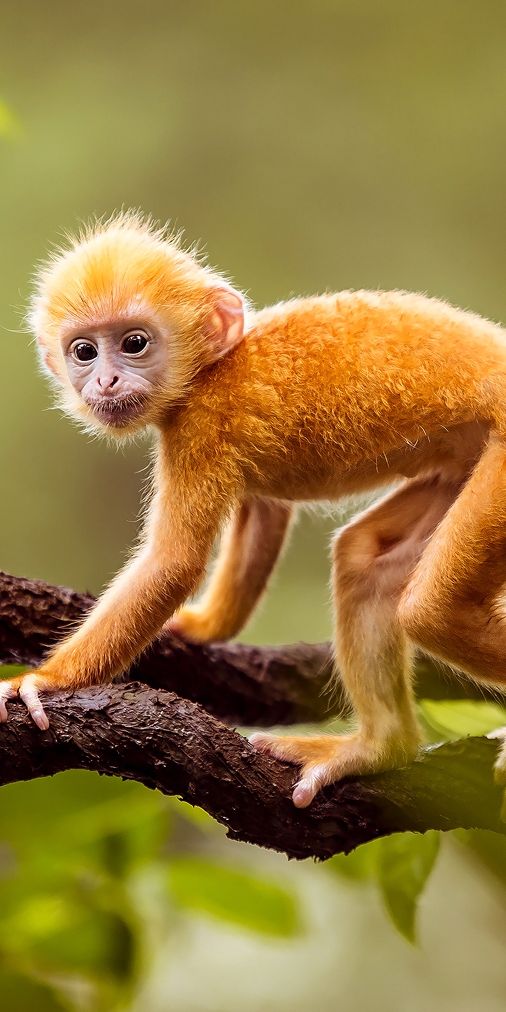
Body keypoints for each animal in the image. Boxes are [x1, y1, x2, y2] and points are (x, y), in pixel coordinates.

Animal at [3, 209, 506, 811]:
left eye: (134, 342)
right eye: (84, 351)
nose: (106, 379)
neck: (210, 368)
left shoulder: (202, 424)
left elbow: (173, 563)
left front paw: (44, 682)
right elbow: (264, 510)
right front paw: (198, 626)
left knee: (431, 610)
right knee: (366, 561)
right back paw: (381, 748)